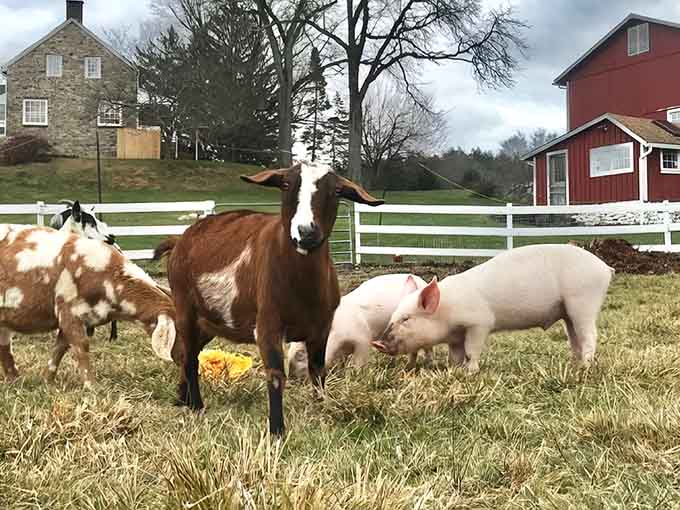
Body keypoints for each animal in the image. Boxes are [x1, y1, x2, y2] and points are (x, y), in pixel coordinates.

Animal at [0, 225, 176, 386]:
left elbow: (60, 348)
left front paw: (47, 381)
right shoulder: (68, 309)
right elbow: (81, 346)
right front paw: (92, 386)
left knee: (5, 348)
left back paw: (15, 381)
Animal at [154, 161, 383, 435]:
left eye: (337, 190)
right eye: (285, 184)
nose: (306, 232)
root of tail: (179, 240)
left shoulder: (322, 326)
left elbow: (318, 371)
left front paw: (322, 409)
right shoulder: (268, 324)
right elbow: (275, 375)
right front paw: (277, 431)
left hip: (209, 320)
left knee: (186, 351)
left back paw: (182, 398)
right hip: (185, 307)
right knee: (189, 358)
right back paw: (197, 406)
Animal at [286, 274, 433, 377]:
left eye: (300, 354)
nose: (292, 378)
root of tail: (422, 280)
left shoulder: (363, 338)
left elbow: (359, 361)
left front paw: (356, 374)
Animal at [372, 244, 614, 373]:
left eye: (406, 319)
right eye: (393, 316)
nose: (378, 343)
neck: (447, 311)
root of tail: (605, 268)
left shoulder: (480, 323)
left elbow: (472, 350)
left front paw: (470, 372)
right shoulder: (455, 336)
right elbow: (454, 355)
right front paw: (454, 370)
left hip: (583, 302)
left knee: (590, 335)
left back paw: (586, 367)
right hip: (568, 312)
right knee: (574, 338)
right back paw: (575, 365)